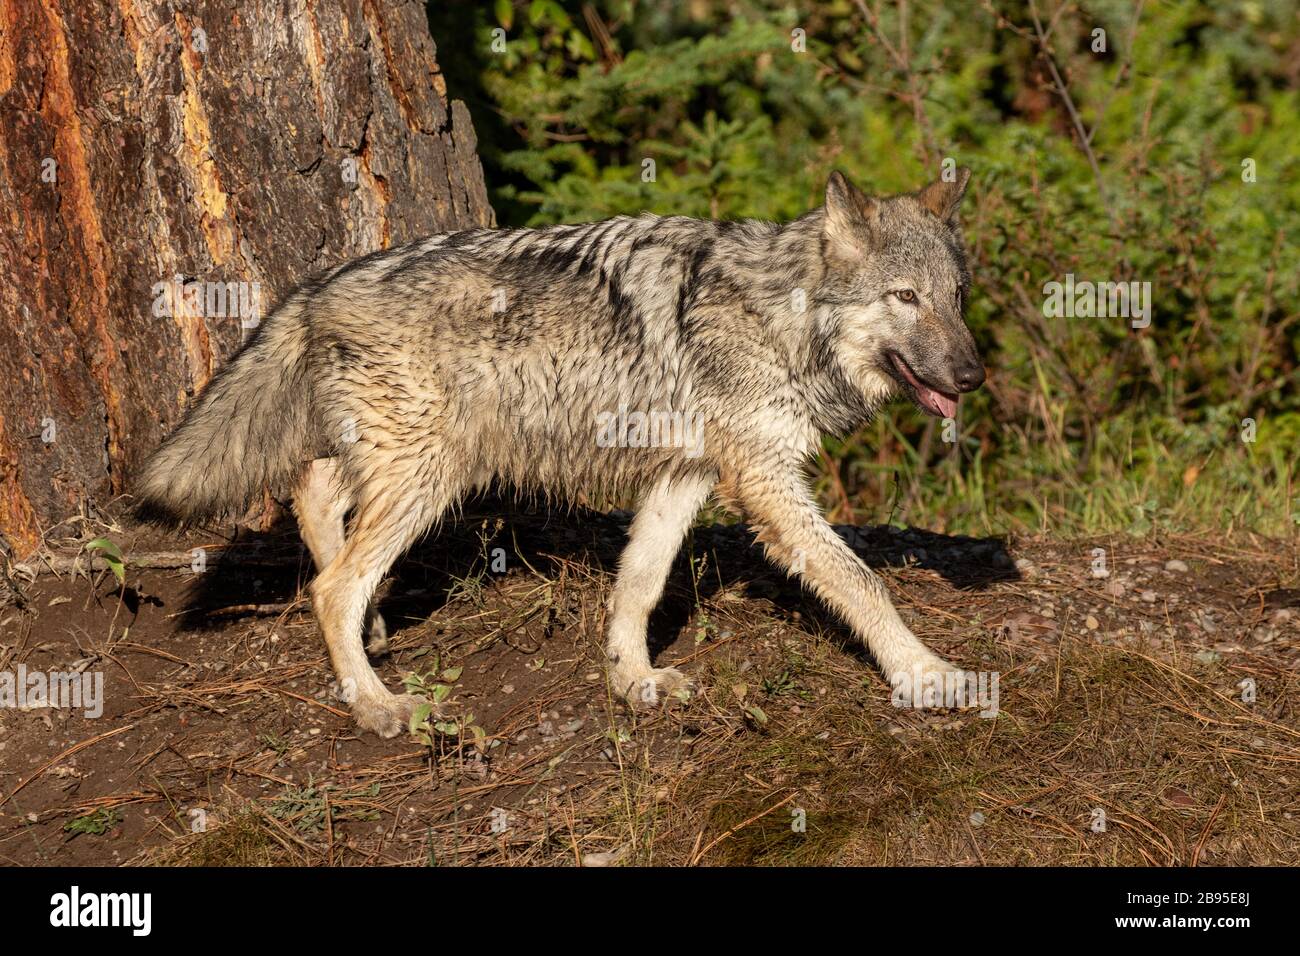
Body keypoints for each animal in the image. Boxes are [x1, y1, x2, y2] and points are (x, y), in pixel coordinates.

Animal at [134, 169, 985, 737]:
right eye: (905, 297)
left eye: (957, 297)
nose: (974, 375)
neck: (782, 316)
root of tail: (316, 286)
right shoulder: (766, 482)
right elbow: (863, 581)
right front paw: (927, 676)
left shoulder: (685, 475)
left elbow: (638, 585)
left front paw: (631, 680)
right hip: (432, 473)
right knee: (329, 585)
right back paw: (374, 703)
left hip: (412, 463)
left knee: (313, 493)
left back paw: (371, 638)